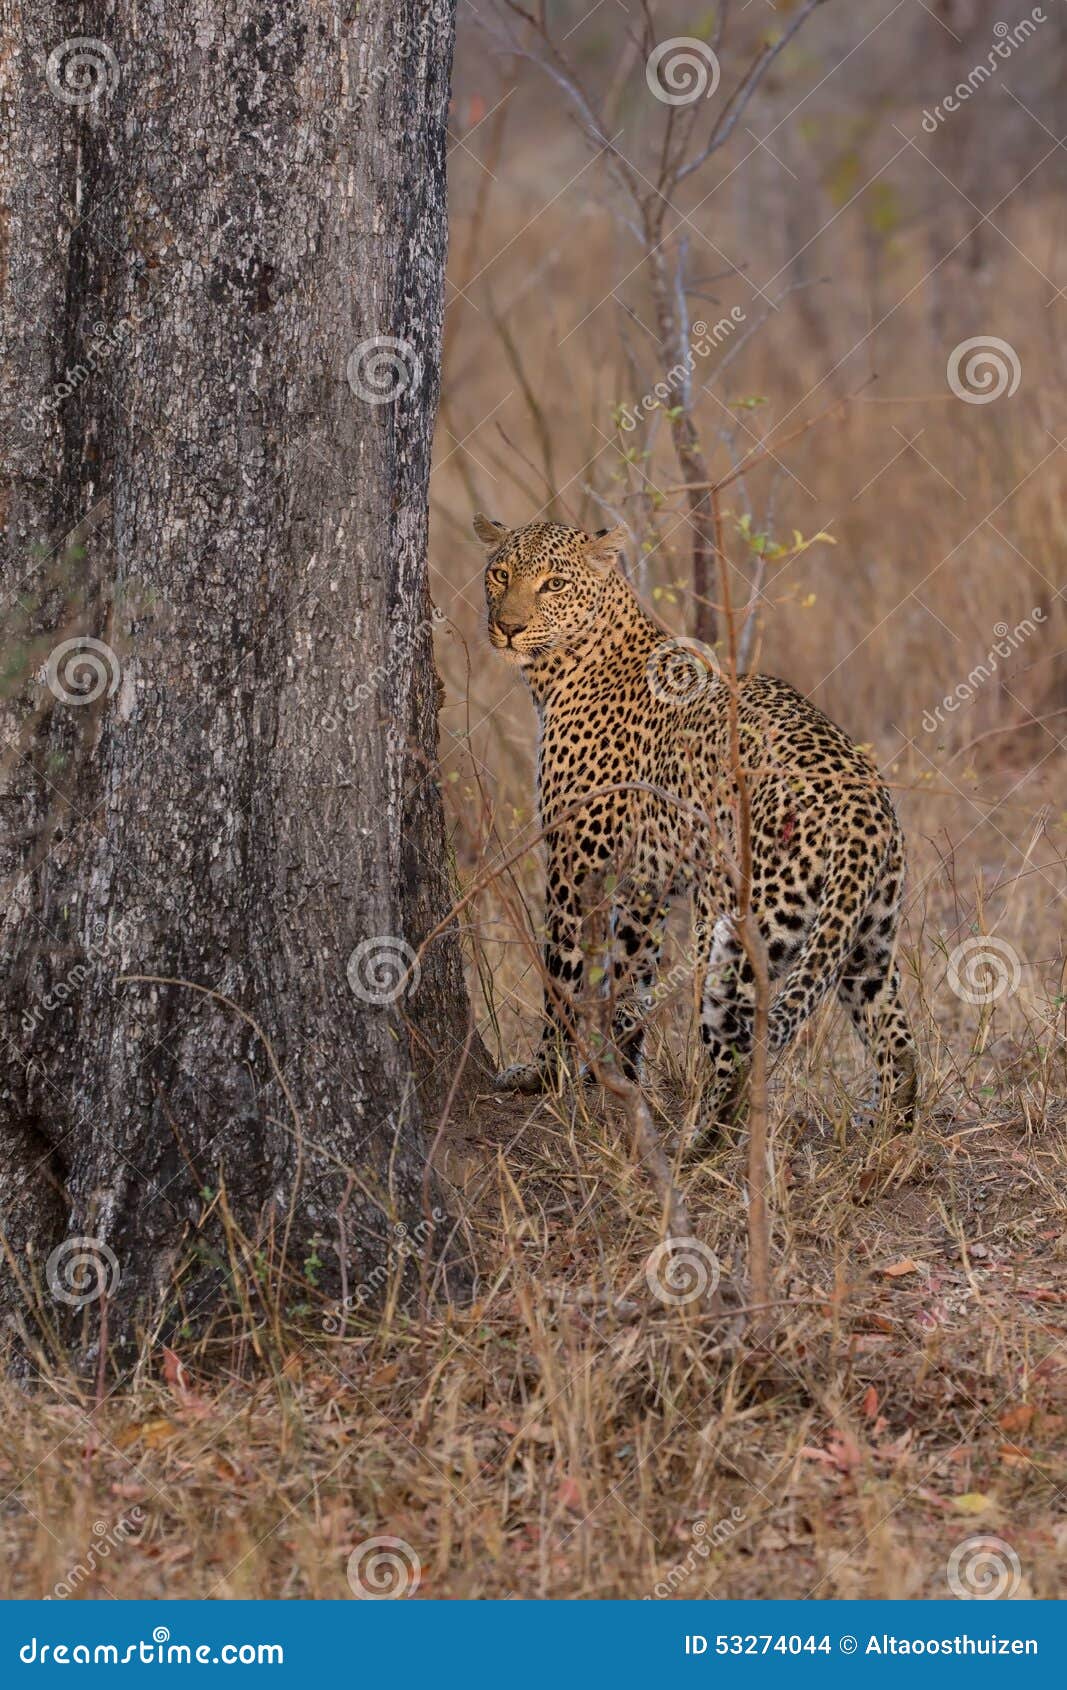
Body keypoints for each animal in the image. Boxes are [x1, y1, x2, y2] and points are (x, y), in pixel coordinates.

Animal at [475, 512, 918, 1144]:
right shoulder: (646, 882)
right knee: (896, 1036)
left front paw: (543, 1075)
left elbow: (561, 975)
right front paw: (621, 1076)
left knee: (737, 1046)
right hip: (870, 932)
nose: (508, 628)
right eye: (501, 574)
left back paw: (702, 1138)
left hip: (739, 928)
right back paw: (886, 1129)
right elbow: (630, 978)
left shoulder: (575, 861)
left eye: (553, 584)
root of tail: (861, 806)